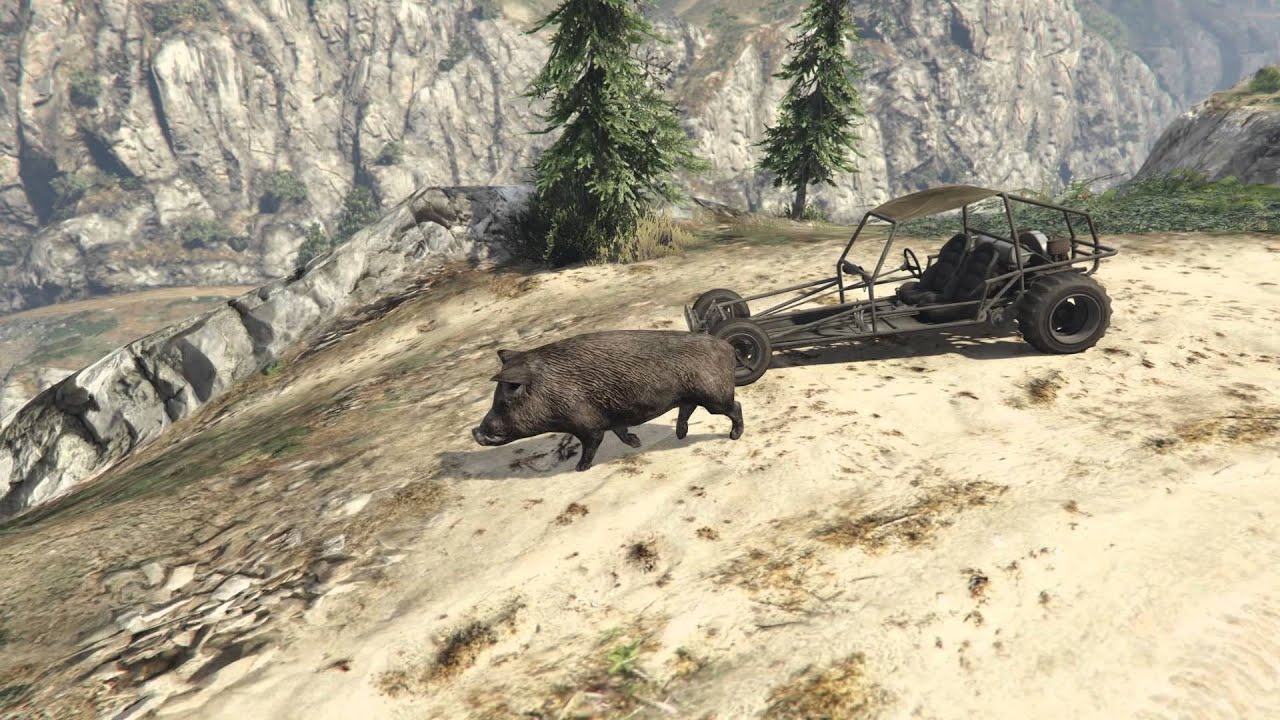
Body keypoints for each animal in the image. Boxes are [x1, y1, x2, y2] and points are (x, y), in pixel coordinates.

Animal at [470, 330, 745, 471]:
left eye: (504, 401)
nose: (476, 431)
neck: (550, 393)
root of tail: (728, 346)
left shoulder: (586, 425)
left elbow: (592, 444)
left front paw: (579, 468)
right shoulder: (611, 417)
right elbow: (620, 432)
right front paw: (636, 443)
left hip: (715, 395)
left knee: (735, 407)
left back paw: (734, 437)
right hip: (691, 394)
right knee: (687, 409)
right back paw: (680, 436)